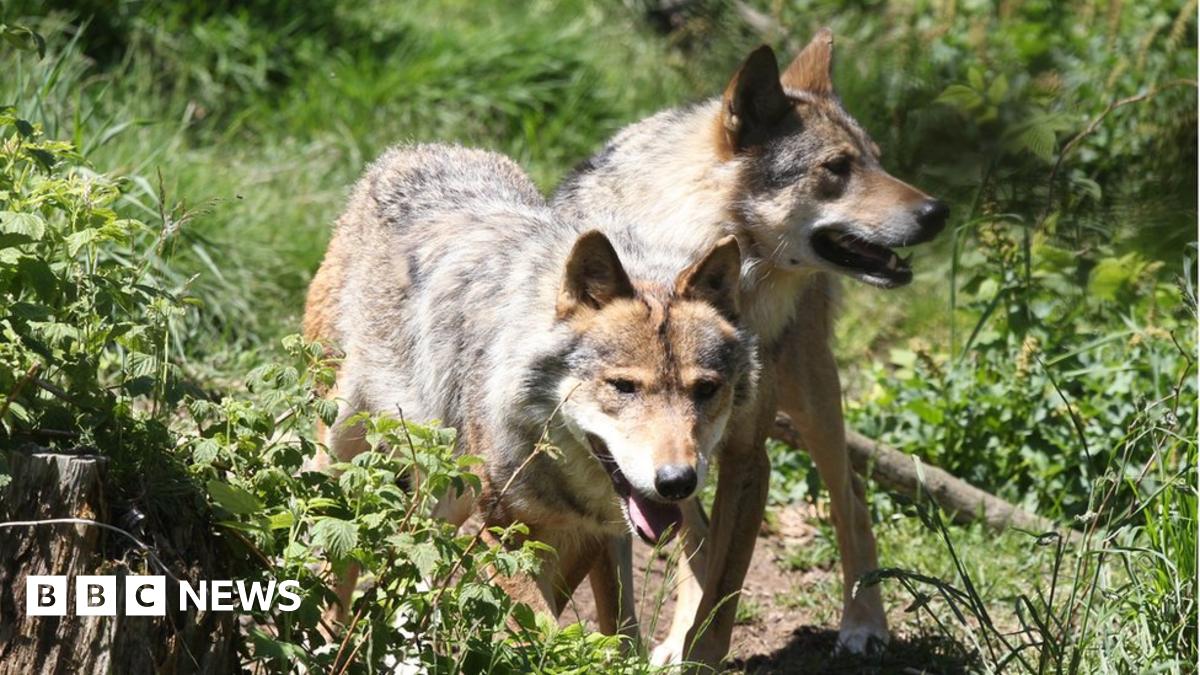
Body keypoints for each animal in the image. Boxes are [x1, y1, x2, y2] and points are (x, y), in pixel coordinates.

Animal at [302, 143, 760, 641]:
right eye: (624, 387)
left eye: (705, 390)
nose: (677, 483)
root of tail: (409, 150)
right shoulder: (500, 528)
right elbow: (542, 628)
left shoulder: (594, 533)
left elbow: (613, 632)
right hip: (343, 450)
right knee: (338, 560)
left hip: (445, 495)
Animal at [554, 30, 948, 665]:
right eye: (837, 167)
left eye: (877, 159)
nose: (938, 212)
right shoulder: (614, 457)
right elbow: (622, 600)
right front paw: (638, 654)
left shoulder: (748, 457)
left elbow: (723, 596)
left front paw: (700, 658)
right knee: (695, 531)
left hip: (812, 399)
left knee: (850, 494)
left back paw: (864, 624)